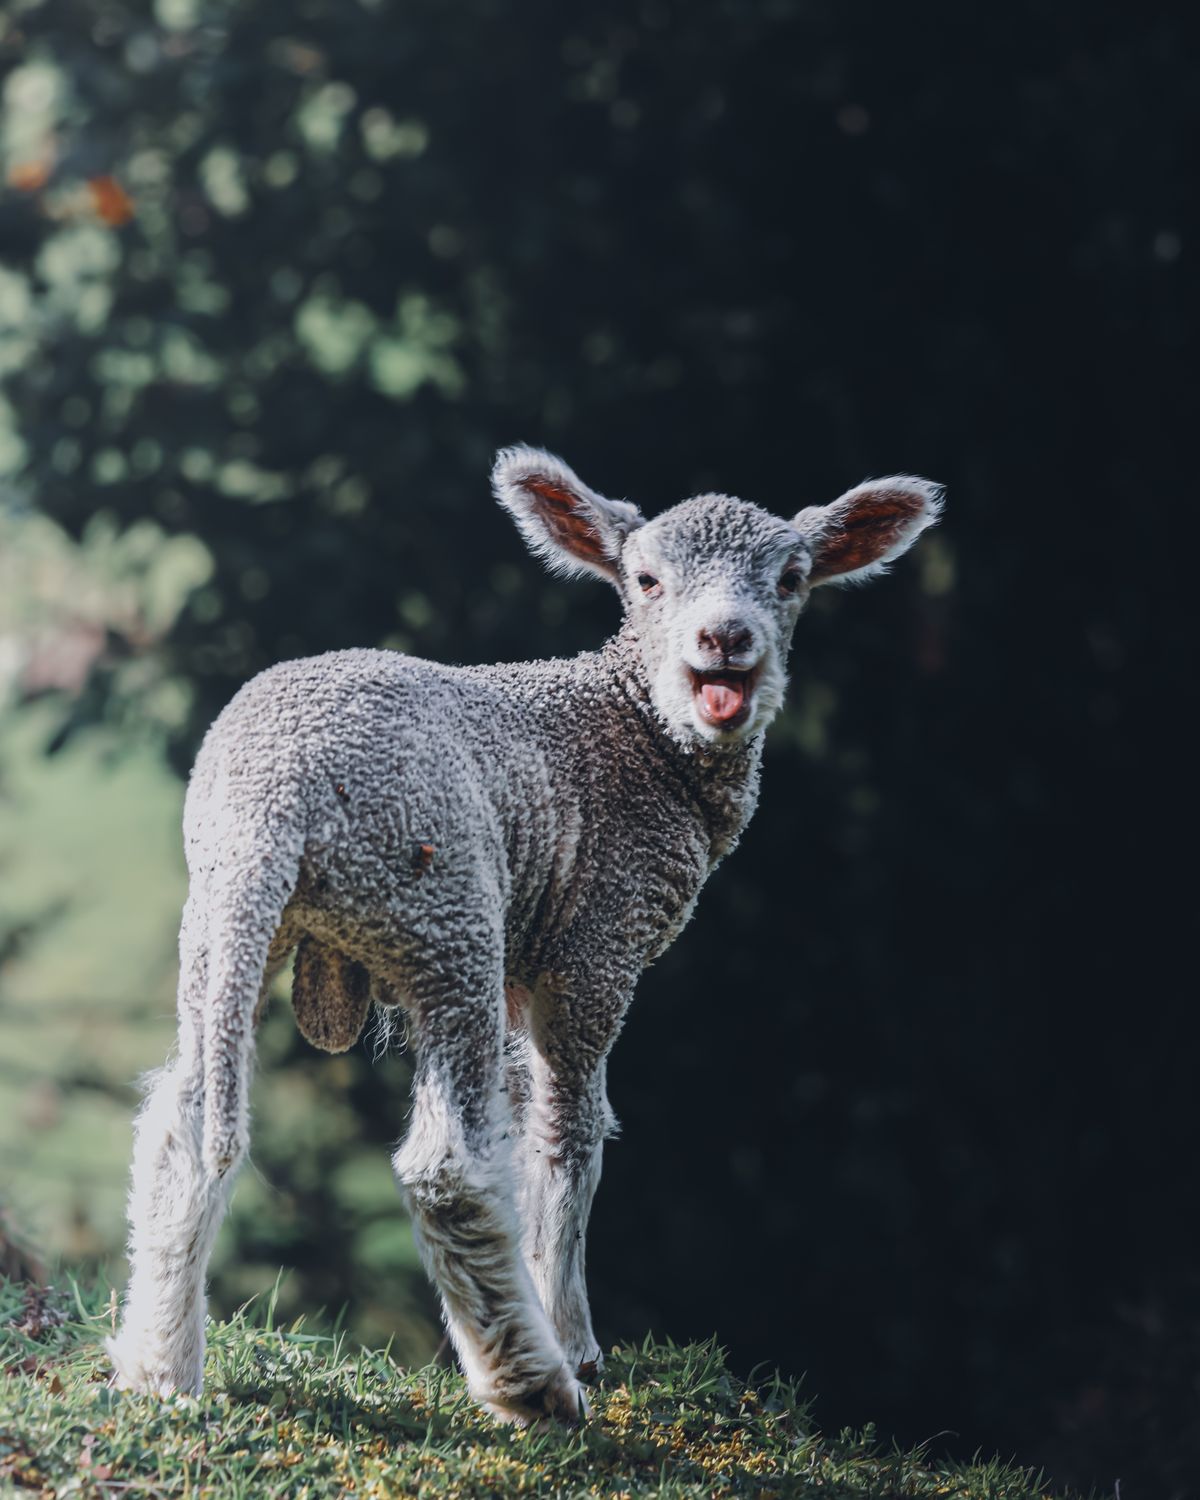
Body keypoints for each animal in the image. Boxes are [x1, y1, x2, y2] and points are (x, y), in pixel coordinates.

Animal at [107, 446, 943, 1425]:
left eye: (792, 579)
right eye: (647, 580)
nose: (725, 638)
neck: (636, 728)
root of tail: (275, 797)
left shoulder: (526, 953)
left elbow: (524, 1113)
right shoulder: (597, 941)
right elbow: (568, 1133)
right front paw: (576, 1337)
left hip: (223, 921)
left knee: (184, 1122)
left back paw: (159, 1369)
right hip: (442, 908)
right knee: (447, 1168)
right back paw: (531, 1381)